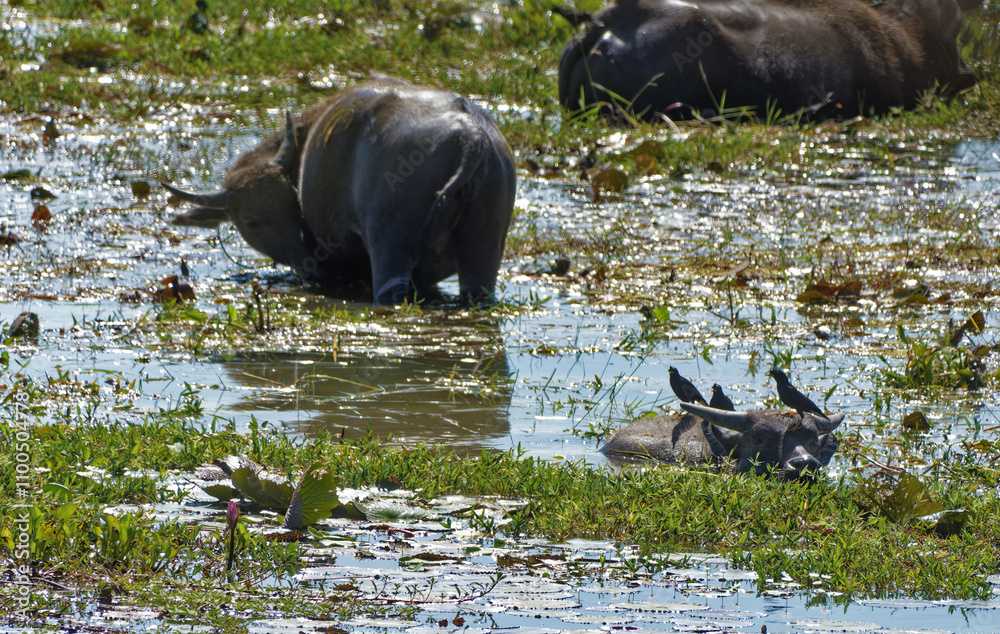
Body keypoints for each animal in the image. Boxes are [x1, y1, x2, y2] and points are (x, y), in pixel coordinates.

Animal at [164, 79, 516, 305]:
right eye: (251, 221)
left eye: (293, 205)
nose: (310, 263)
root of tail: (472, 137)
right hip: (482, 256)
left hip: (390, 251)